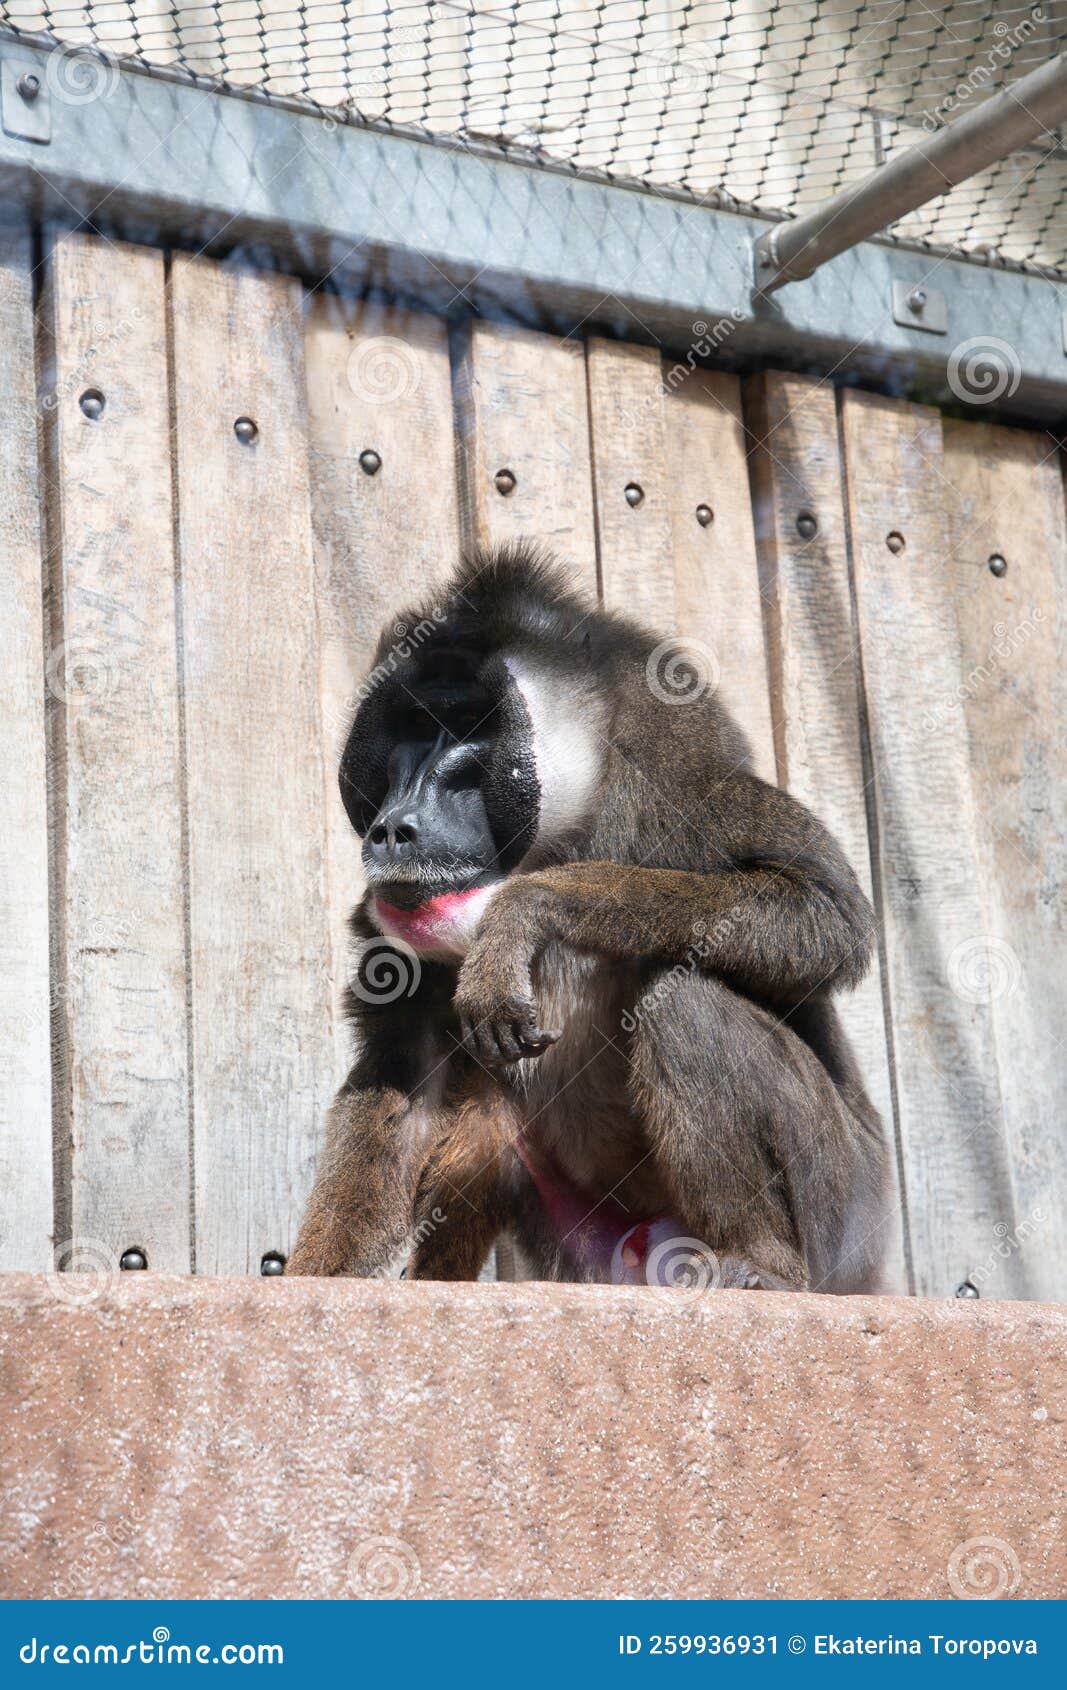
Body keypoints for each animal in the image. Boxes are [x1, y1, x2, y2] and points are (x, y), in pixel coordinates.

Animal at [286, 542, 891, 1294]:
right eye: (406, 732)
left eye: (462, 733)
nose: (396, 826)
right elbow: (403, 1084)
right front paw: (313, 1277)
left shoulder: (675, 774)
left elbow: (824, 909)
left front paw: (526, 911)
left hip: (841, 1218)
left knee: (684, 1001)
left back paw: (763, 1263)